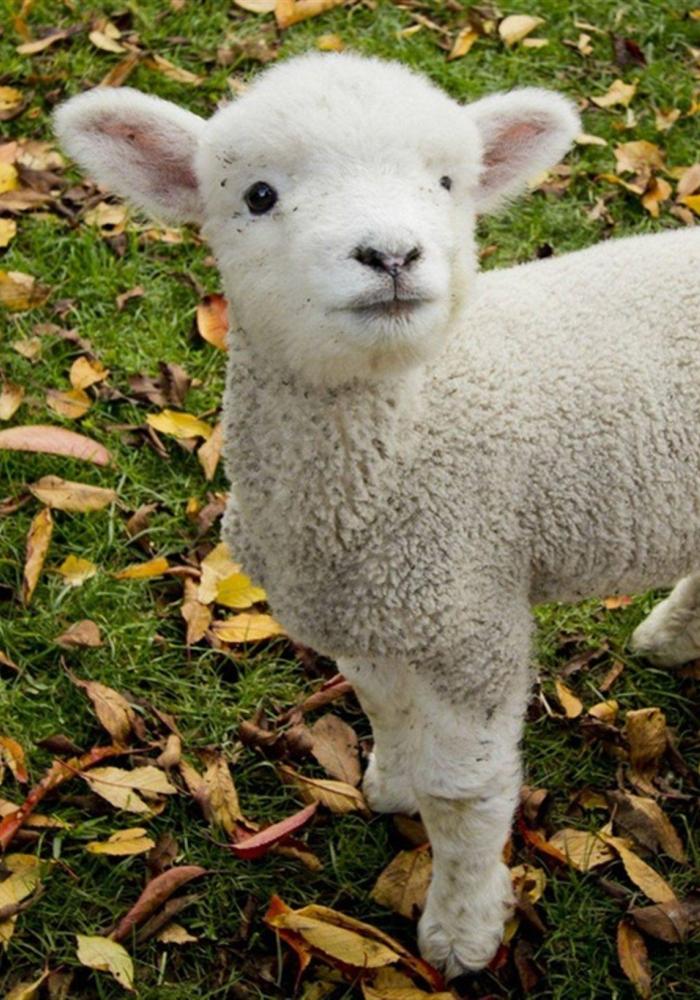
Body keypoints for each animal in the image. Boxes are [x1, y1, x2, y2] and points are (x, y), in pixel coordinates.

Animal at [55, 51, 700, 978]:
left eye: (447, 183)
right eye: (258, 195)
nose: (392, 253)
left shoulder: (470, 620)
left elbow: (464, 795)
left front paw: (462, 931)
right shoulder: (370, 609)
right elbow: (382, 704)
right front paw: (391, 783)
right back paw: (672, 635)